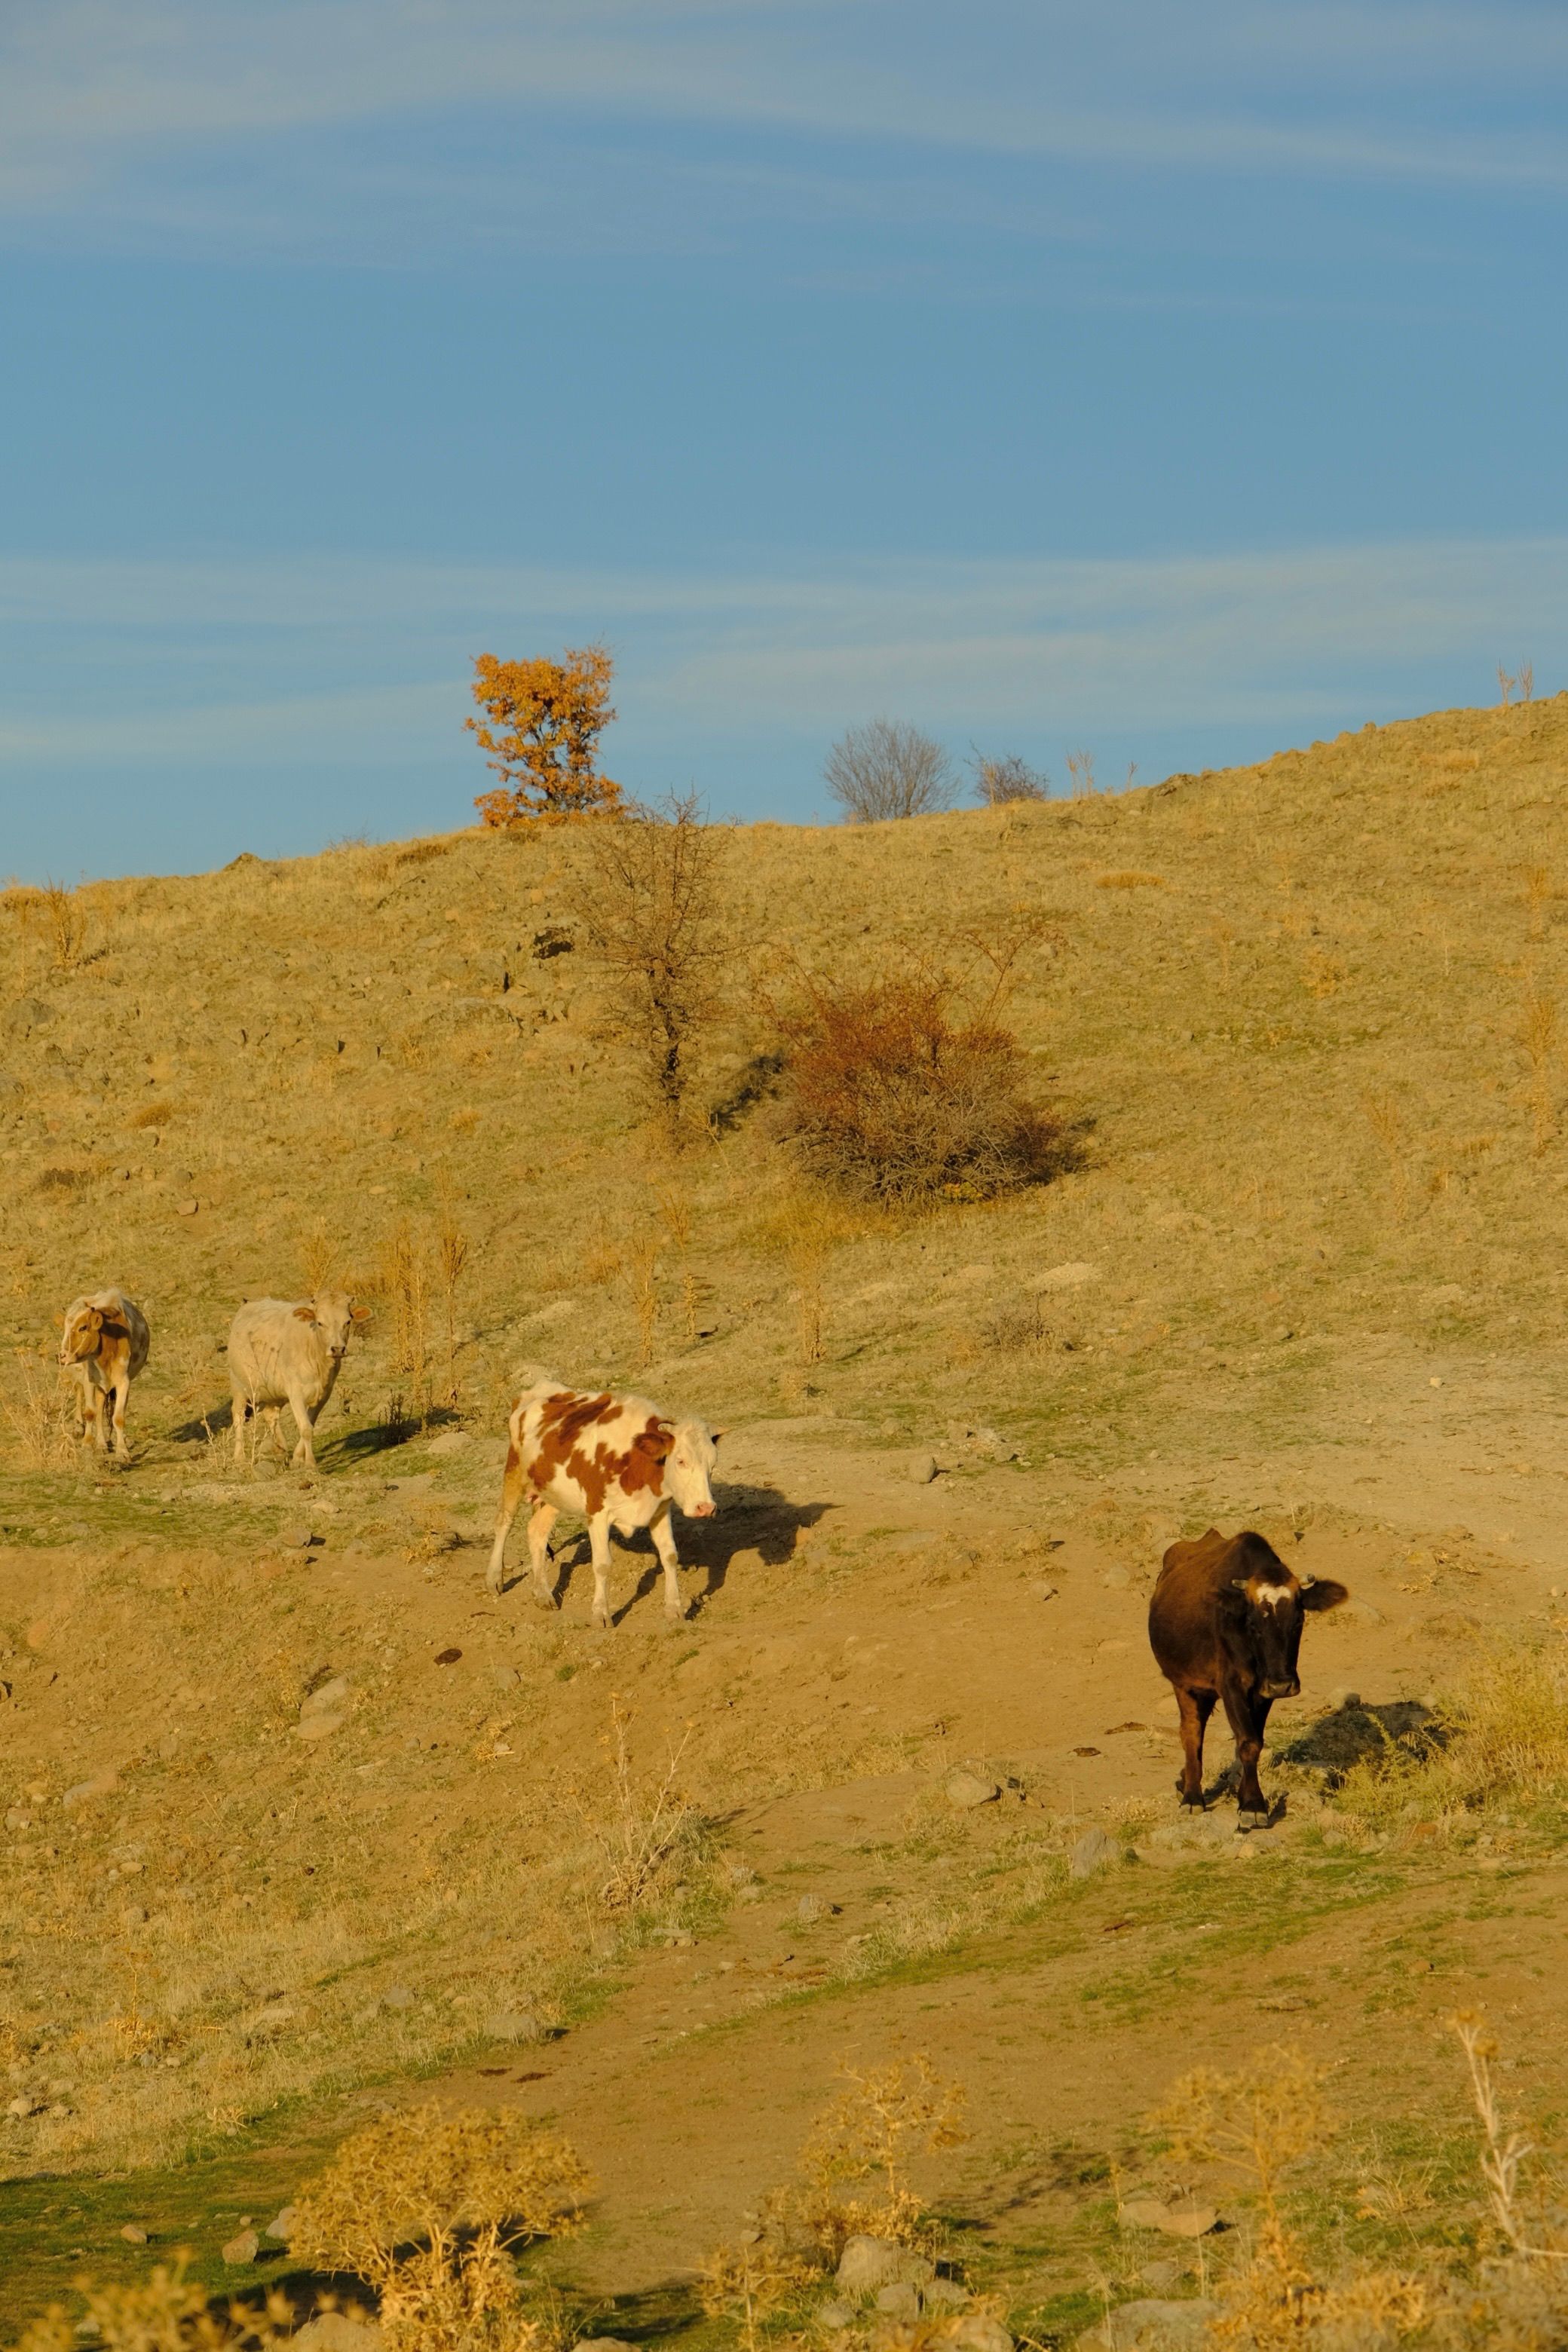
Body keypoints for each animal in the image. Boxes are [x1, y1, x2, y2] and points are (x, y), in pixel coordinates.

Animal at [59, 1289, 150, 1461]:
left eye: (83, 1328)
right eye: (67, 1327)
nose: (62, 1356)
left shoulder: (123, 1382)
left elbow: (118, 1417)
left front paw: (122, 1452)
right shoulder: (89, 1380)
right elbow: (90, 1413)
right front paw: (87, 1444)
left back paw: (104, 1444)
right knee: (91, 1405)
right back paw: (91, 1437)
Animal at [227, 1293, 370, 1470]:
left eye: (347, 1322)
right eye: (320, 1322)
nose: (337, 1349)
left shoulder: (324, 1394)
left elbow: (310, 1424)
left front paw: (297, 1458)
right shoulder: (295, 1392)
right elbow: (306, 1428)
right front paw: (310, 1463)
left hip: (273, 1390)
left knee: (270, 1415)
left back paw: (281, 1450)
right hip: (239, 1385)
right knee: (238, 1416)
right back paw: (240, 1457)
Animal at [487, 1382, 720, 1627]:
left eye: (713, 1464)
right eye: (681, 1461)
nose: (706, 1507)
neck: (635, 1458)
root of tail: (536, 1390)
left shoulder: (659, 1511)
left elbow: (670, 1556)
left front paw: (674, 1609)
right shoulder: (598, 1513)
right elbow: (602, 1564)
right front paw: (601, 1613)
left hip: (553, 1493)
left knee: (537, 1532)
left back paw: (543, 1594)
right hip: (514, 1472)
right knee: (504, 1521)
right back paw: (494, 1579)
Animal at [1148, 1527, 1349, 1815]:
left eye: (1298, 1620)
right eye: (1252, 1622)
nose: (1282, 1685)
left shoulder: (1263, 1690)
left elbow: (1255, 1740)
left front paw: (1248, 1799)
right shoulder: (1232, 1685)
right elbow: (1247, 1741)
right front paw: (1253, 1805)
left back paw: (1184, 1781)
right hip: (1183, 1683)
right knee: (1191, 1732)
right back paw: (1192, 1796)